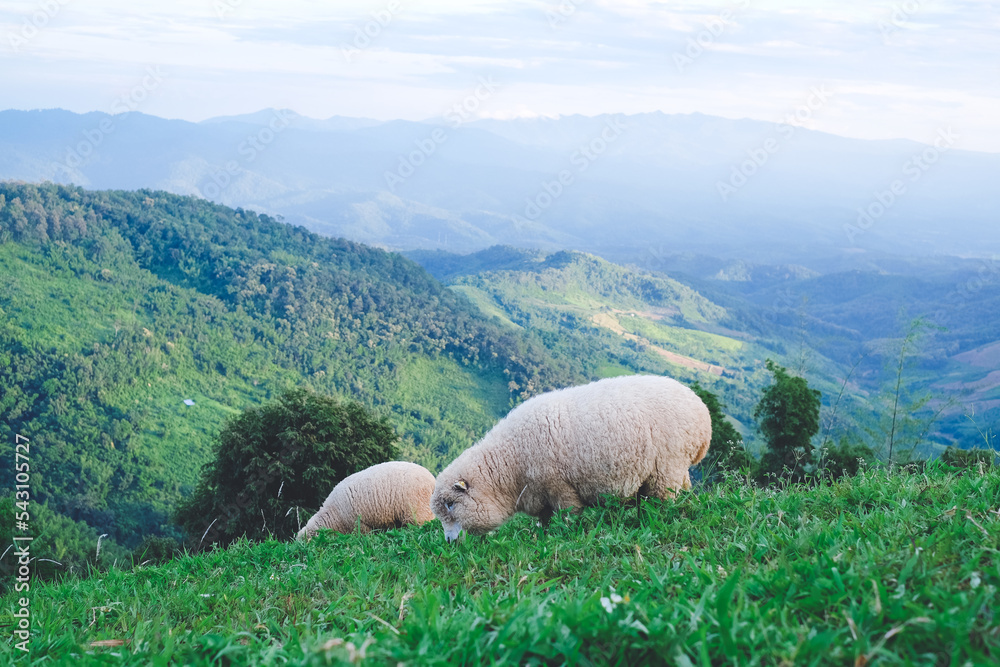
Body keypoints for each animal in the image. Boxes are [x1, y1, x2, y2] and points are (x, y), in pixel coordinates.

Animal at [430, 375, 711, 541]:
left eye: (451, 504)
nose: (449, 542)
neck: (510, 463)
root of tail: (702, 413)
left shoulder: (559, 485)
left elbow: (568, 514)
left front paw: (566, 533)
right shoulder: (540, 494)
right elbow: (544, 520)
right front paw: (542, 536)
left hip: (667, 466)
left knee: (665, 501)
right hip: (672, 469)